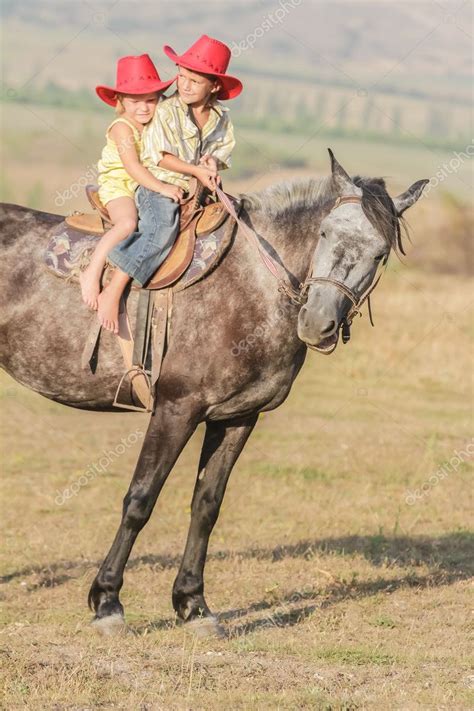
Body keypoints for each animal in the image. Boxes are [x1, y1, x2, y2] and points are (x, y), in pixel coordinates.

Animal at [0, 150, 427, 634]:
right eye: (324, 232)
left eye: (379, 254)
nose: (318, 323)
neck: (251, 287)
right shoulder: (176, 410)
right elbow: (140, 500)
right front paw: (107, 601)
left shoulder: (237, 417)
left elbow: (206, 505)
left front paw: (193, 605)